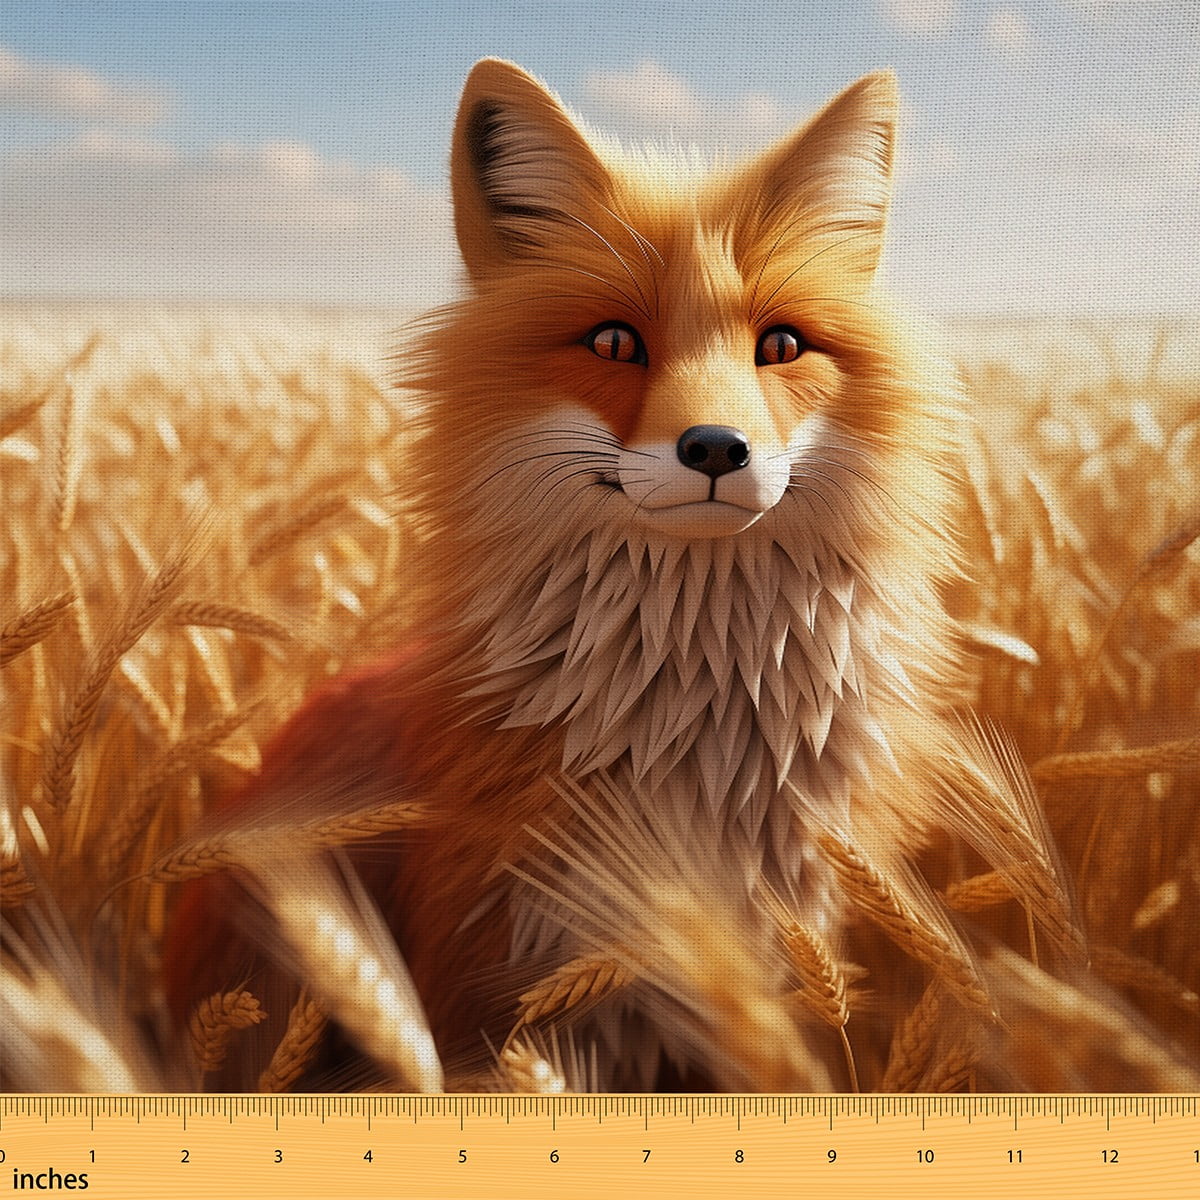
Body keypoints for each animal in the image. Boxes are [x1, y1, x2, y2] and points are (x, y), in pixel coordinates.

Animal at [164, 58, 983, 1091]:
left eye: (783, 345)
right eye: (614, 343)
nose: (716, 448)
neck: (686, 744)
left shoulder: (779, 948)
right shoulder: (486, 980)